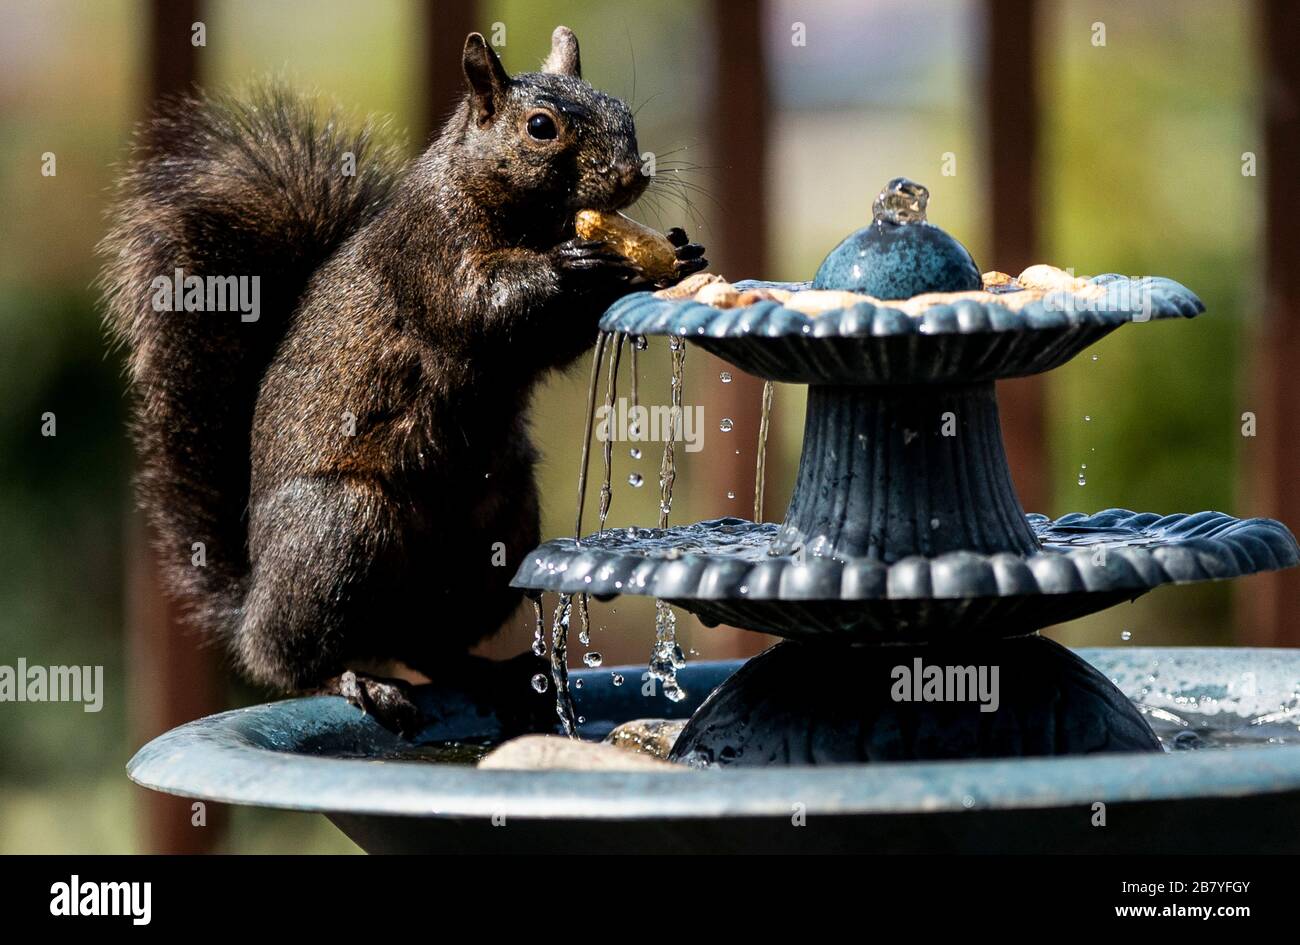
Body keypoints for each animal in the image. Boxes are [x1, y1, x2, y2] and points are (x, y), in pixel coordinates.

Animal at [99, 26, 706, 734]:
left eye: (623, 110)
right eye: (540, 127)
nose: (635, 174)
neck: (520, 213)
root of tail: (251, 607)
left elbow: (552, 343)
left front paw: (677, 254)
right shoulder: (431, 255)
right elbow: (487, 307)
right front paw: (578, 261)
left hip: (498, 529)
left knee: (430, 647)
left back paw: (493, 674)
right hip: (342, 528)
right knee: (297, 661)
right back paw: (356, 681)